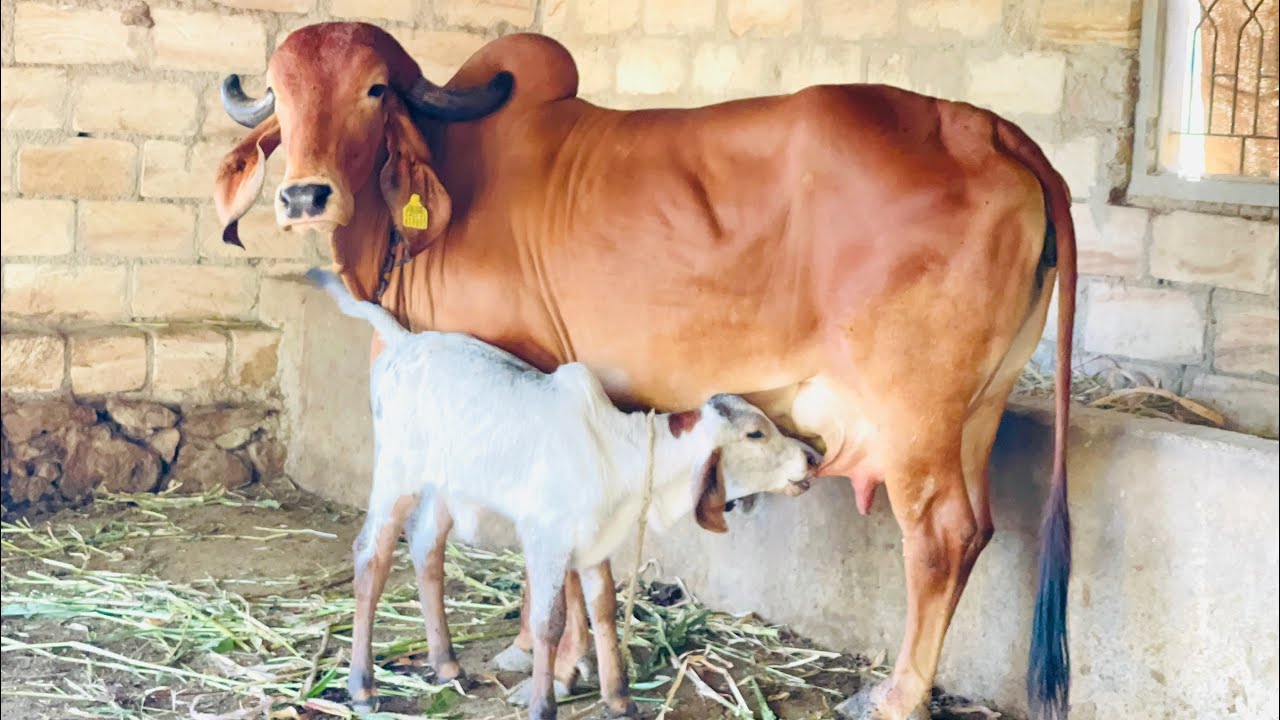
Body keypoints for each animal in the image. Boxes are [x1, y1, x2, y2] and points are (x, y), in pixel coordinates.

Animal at [213, 22, 1077, 720]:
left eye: (375, 89)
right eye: (281, 93)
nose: (304, 194)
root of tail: (993, 129)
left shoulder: (532, 380)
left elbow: (554, 564)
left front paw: (552, 663)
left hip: (913, 418)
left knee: (938, 537)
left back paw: (898, 696)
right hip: (977, 413)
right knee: (978, 531)